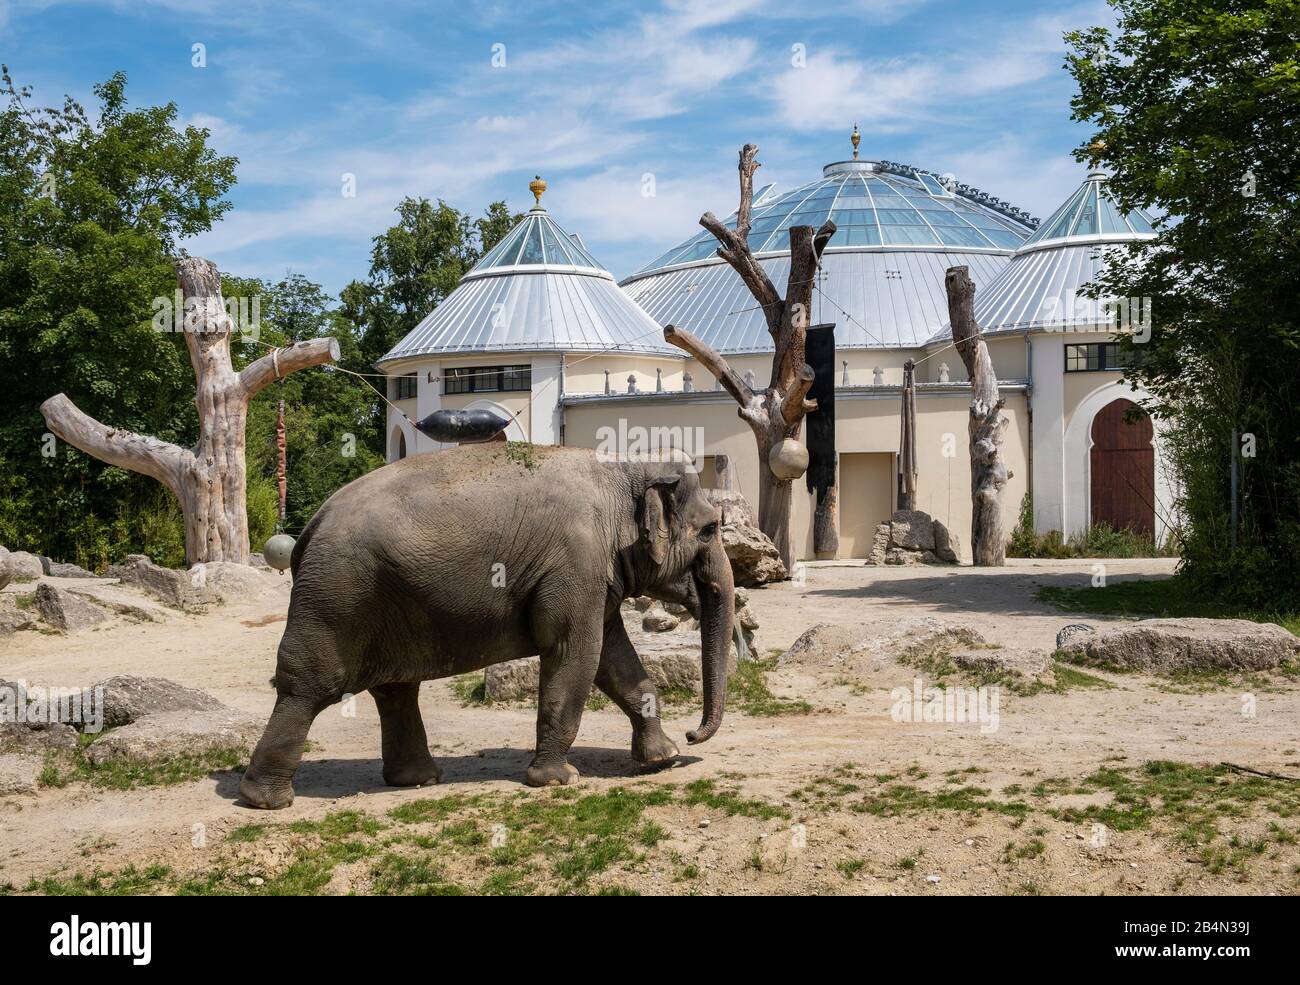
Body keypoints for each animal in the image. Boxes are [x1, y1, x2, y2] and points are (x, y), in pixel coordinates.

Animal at [238, 443, 735, 809]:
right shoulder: (576, 564)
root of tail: (310, 527)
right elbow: (574, 651)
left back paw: (416, 780)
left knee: (396, 689)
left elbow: (614, 660)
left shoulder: (597, 573)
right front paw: (557, 781)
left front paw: (662, 759)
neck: (623, 471)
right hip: (335, 596)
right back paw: (266, 801)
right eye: (710, 530)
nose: (693, 734)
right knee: (309, 685)